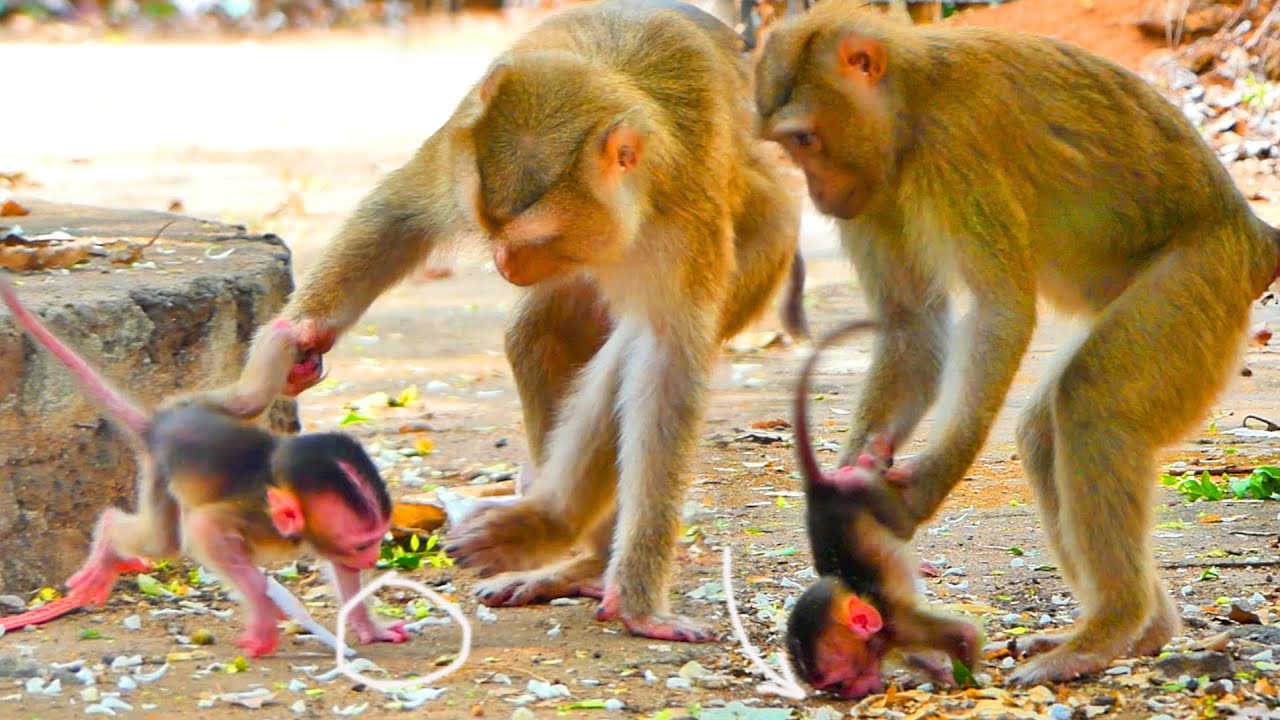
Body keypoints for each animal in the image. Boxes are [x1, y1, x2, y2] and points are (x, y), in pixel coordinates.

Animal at [0, 275, 408, 657]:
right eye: (363, 545)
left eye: (376, 540)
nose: (372, 557)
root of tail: (160, 424)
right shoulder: (257, 517)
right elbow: (204, 530)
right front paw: (263, 615)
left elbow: (342, 572)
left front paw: (368, 626)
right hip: (159, 471)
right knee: (161, 540)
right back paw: (109, 540)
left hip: (201, 401)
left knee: (249, 399)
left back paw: (286, 333)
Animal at [232, 0, 803, 642]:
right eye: (490, 227)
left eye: (538, 236)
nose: (506, 264)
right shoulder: (461, 141)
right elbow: (400, 214)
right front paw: (296, 337)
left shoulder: (685, 217)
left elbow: (665, 366)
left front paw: (640, 605)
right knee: (540, 337)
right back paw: (579, 558)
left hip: (759, 253)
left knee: (634, 343)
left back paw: (554, 529)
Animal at [785, 318, 980, 699]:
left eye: (839, 681)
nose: (853, 693)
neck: (861, 596)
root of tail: (821, 488)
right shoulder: (890, 636)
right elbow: (916, 655)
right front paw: (939, 672)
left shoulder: (897, 624)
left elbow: (965, 635)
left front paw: (970, 683)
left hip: (869, 493)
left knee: (901, 522)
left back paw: (871, 460)